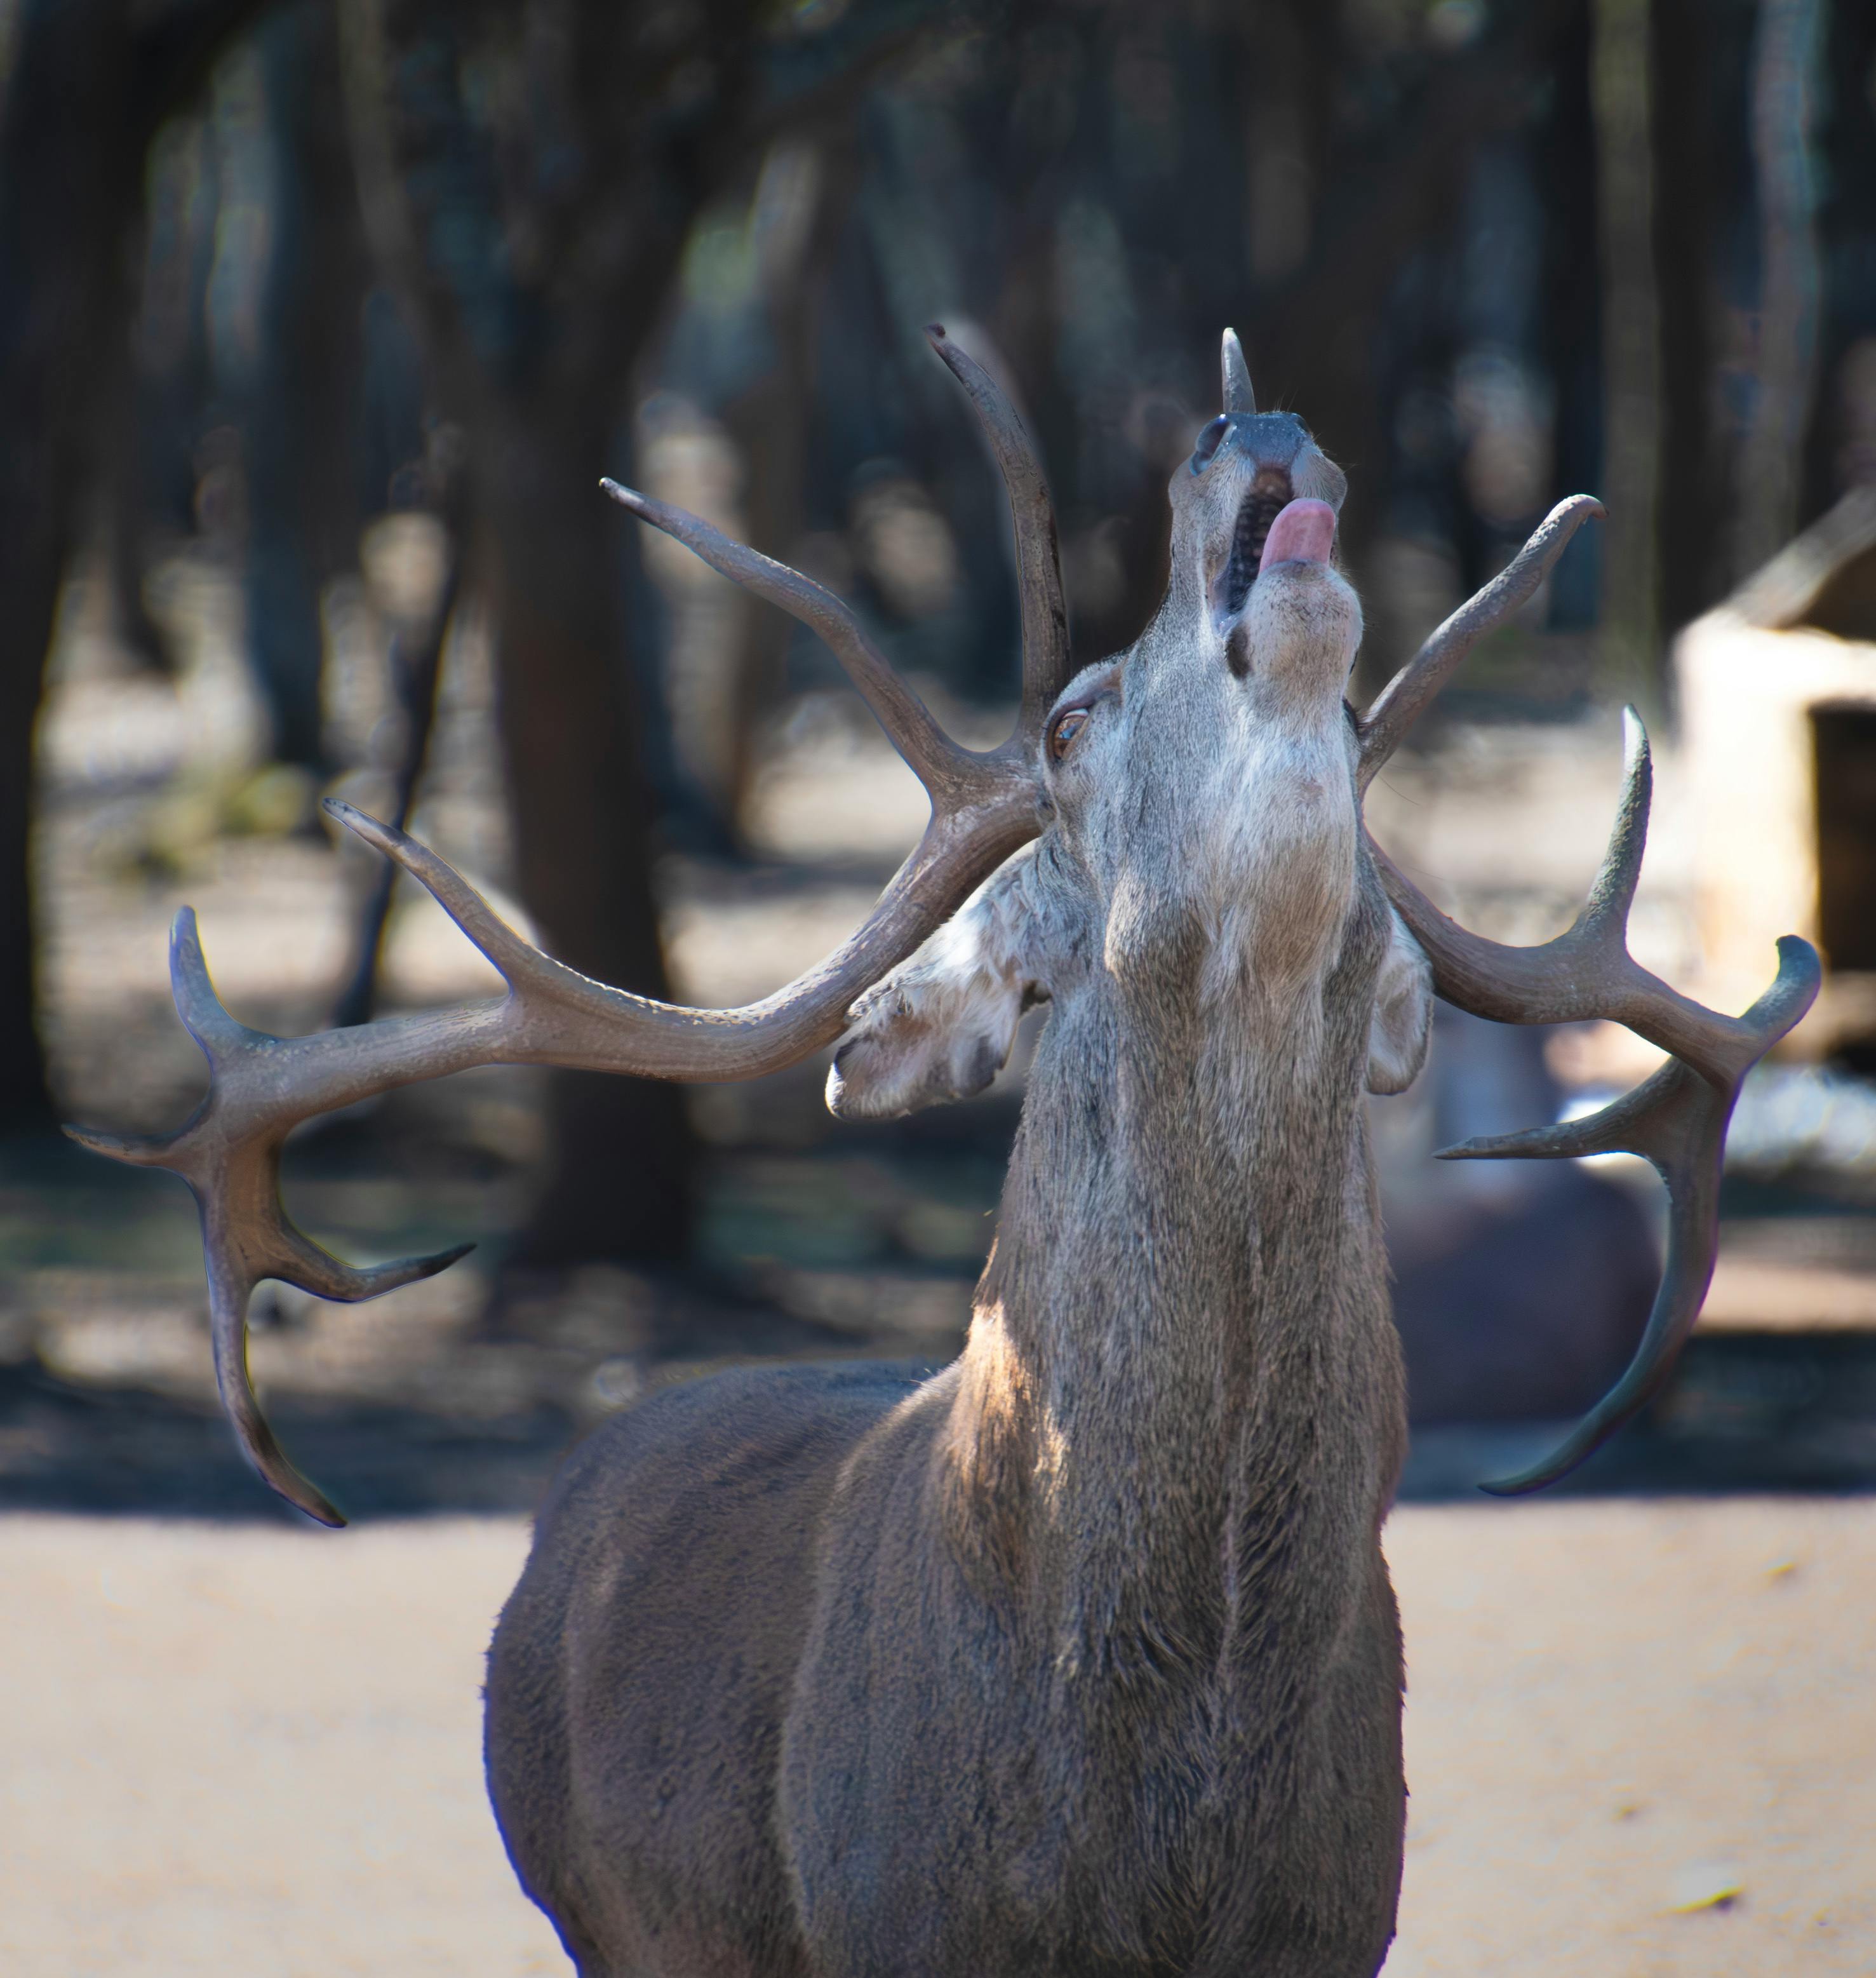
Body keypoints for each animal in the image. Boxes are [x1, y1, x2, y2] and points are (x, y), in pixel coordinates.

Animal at [76, 327, 1818, 1976]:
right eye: (1066, 716)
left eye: (1360, 737)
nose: (1242, 423)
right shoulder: (887, 1914)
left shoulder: (1337, 1923)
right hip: (584, 1909)